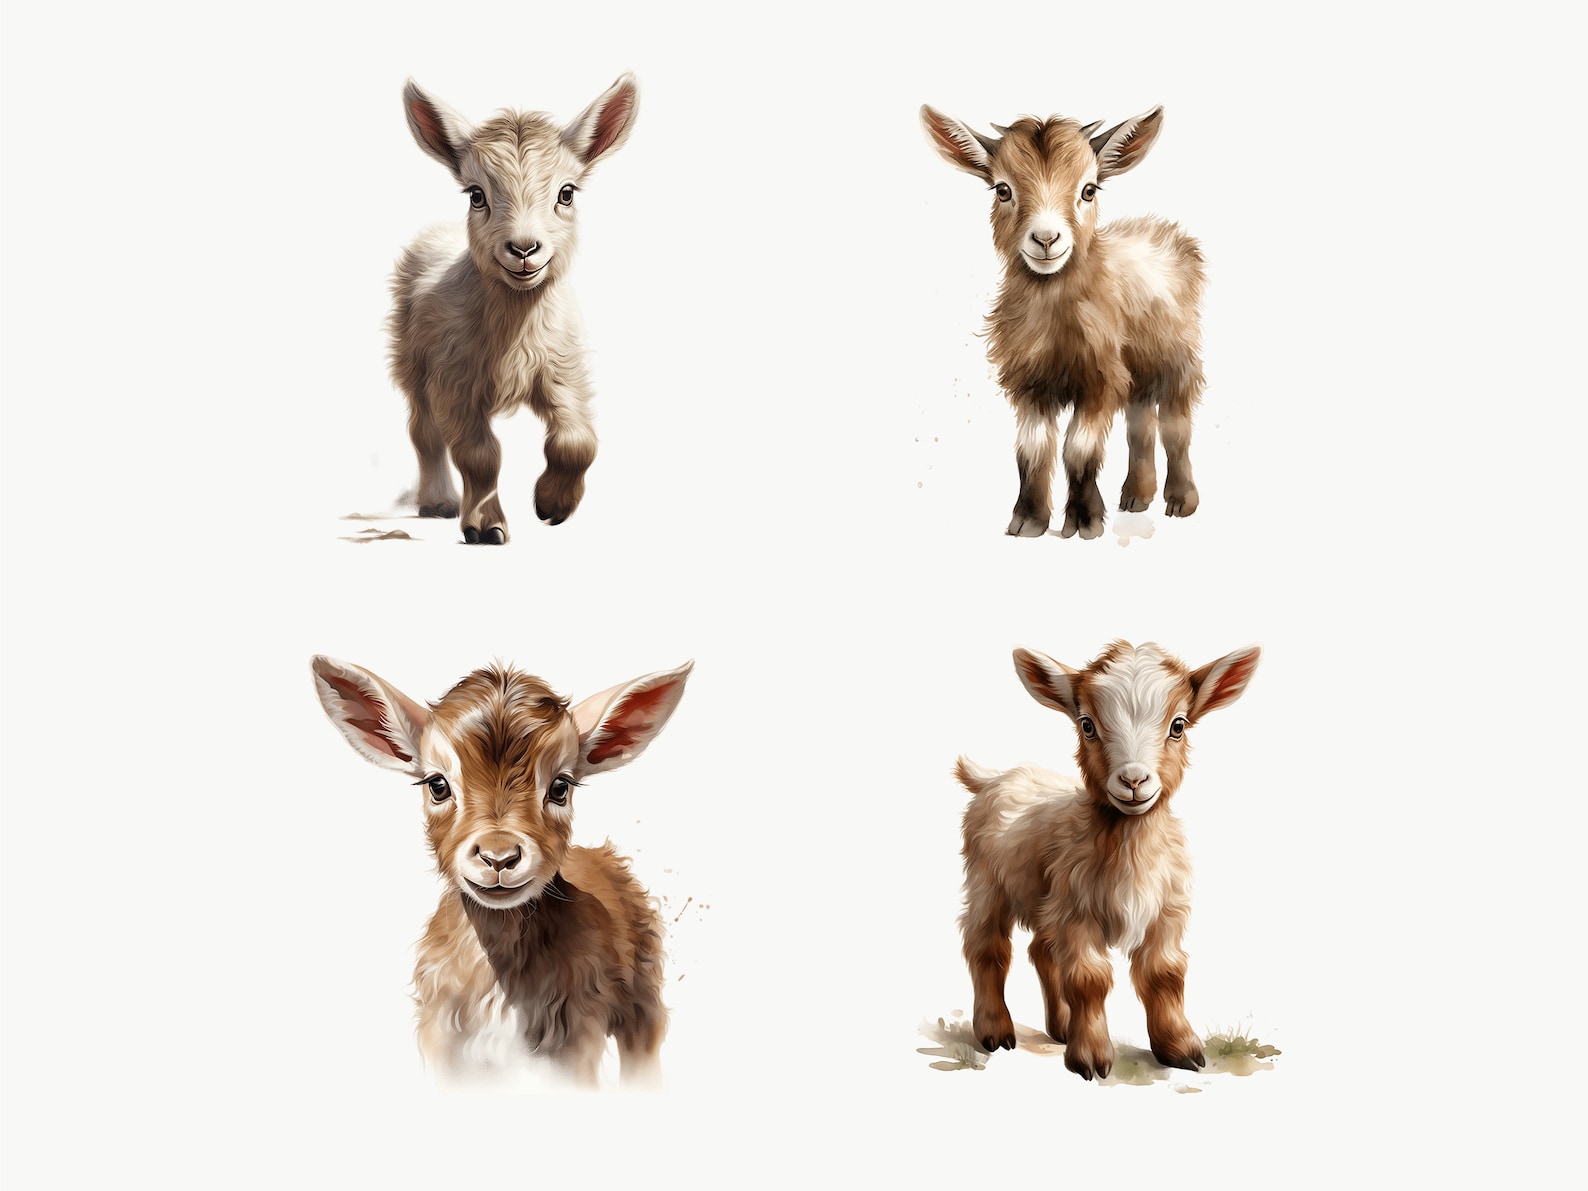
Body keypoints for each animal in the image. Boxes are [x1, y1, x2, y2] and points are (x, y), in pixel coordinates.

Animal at [311, 654, 691, 1086]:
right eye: (437, 785)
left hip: (642, 1003)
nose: (498, 857)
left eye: (561, 786)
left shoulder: (578, 1043)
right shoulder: (444, 1043)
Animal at [389, 75, 638, 544]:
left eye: (566, 193)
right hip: (412, 362)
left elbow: (578, 441)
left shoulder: (563, 370)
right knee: (424, 433)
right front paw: (485, 527)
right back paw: (439, 502)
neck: (516, 322)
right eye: (476, 195)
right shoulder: (454, 382)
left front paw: (553, 504)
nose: (523, 249)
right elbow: (479, 455)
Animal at [920, 104, 1206, 539]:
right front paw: (1028, 521)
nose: (1046, 239)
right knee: (1140, 422)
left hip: (1178, 357)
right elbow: (1032, 450)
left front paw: (1085, 521)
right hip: (1136, 368)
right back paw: (1136, 497)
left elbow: (1079, 450)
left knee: (1176, 425)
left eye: (1089, 190)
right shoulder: (1030, 383)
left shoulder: (1099, 379)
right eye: (1002, 190)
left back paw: (1179, 500)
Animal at [956, 640, 1259, 1080]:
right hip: (987, 882)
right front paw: (1092, 1058)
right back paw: (995, 1030)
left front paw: (1181, 1049)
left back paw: (1061, 1027)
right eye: (1087, 725)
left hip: (1048, 898)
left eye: (1178, 725)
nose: (1133, 781)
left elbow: (1165, 973)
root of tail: (993, 777)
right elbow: (1088, 979)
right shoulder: (1078, 913)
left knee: (1042, 951)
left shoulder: (1165, 912)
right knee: (987, 946)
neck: (1128, 850)